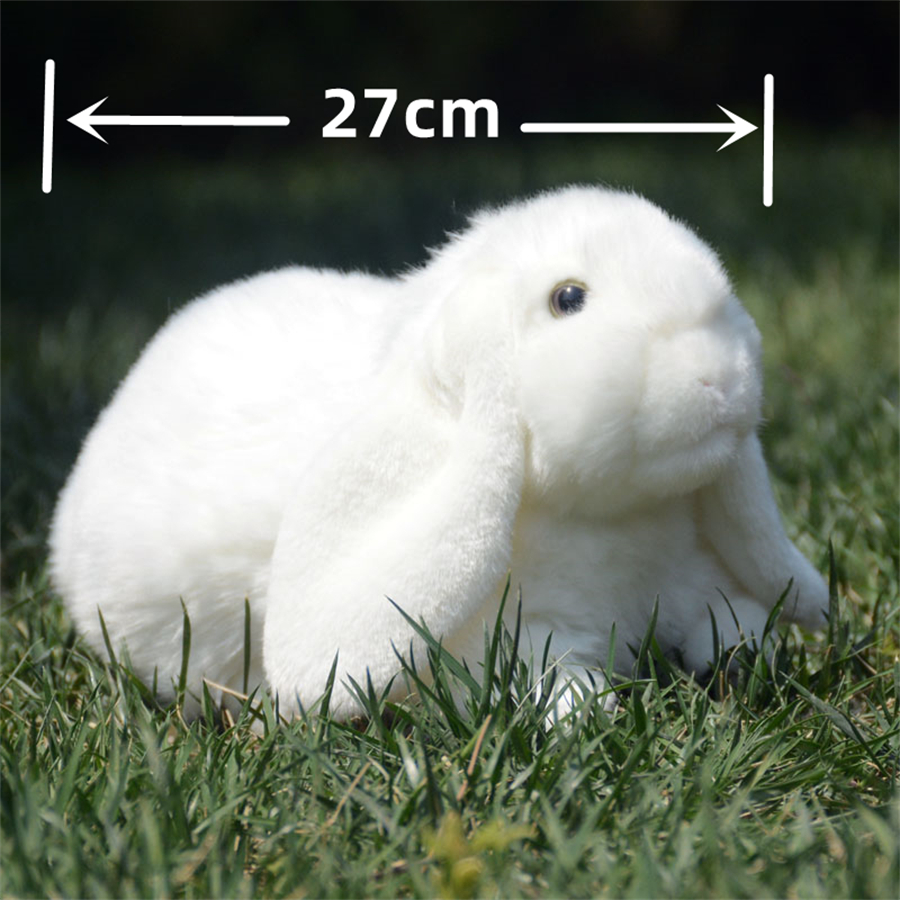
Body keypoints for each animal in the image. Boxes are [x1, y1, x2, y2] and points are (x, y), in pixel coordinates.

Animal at [50, 185, 828, 721]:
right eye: (568, 299)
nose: (719, 377)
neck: (608, 524)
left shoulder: (690, 575)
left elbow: (726, 613)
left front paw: (747, 654)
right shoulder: (514, 634)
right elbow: (554, 672)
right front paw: (585, 714)